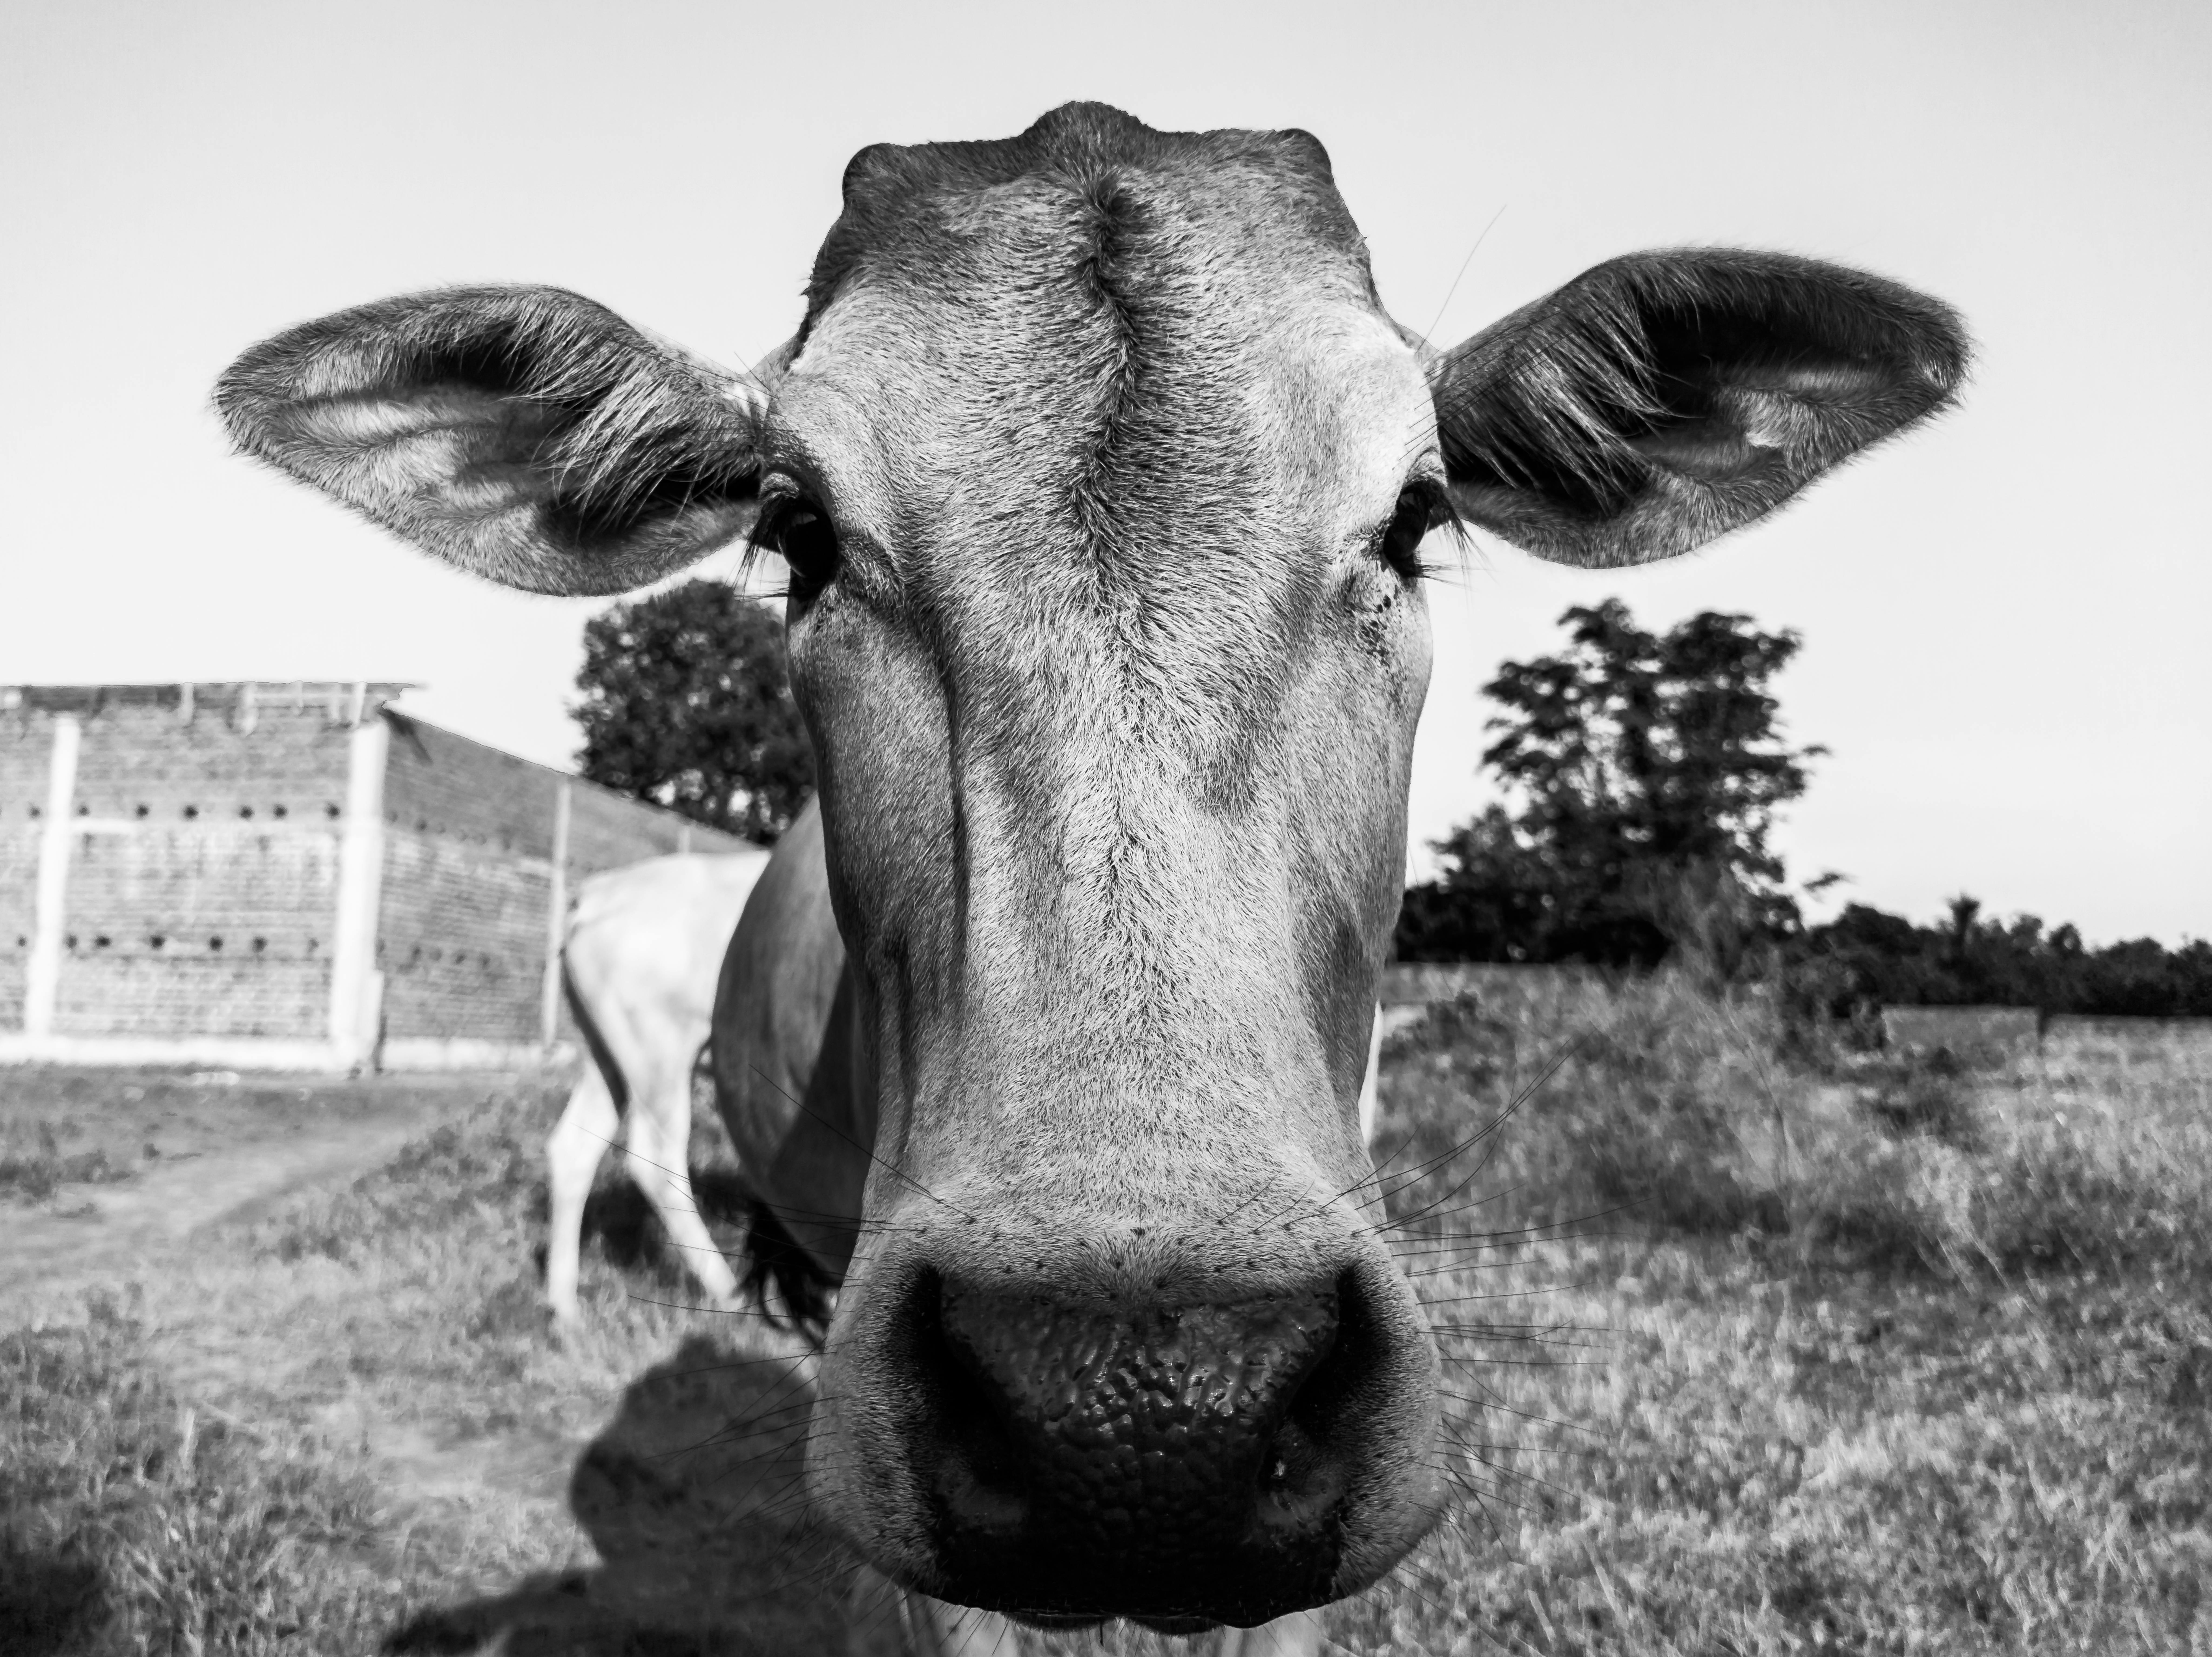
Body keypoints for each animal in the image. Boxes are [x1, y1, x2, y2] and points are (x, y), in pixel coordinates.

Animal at [549, 849, 768, 1326]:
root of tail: (604, 889)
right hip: (660, 1049)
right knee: (655, 1161)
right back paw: (731, 1295)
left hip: (606, 1052)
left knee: (575, 1147)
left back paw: (565, 1309)